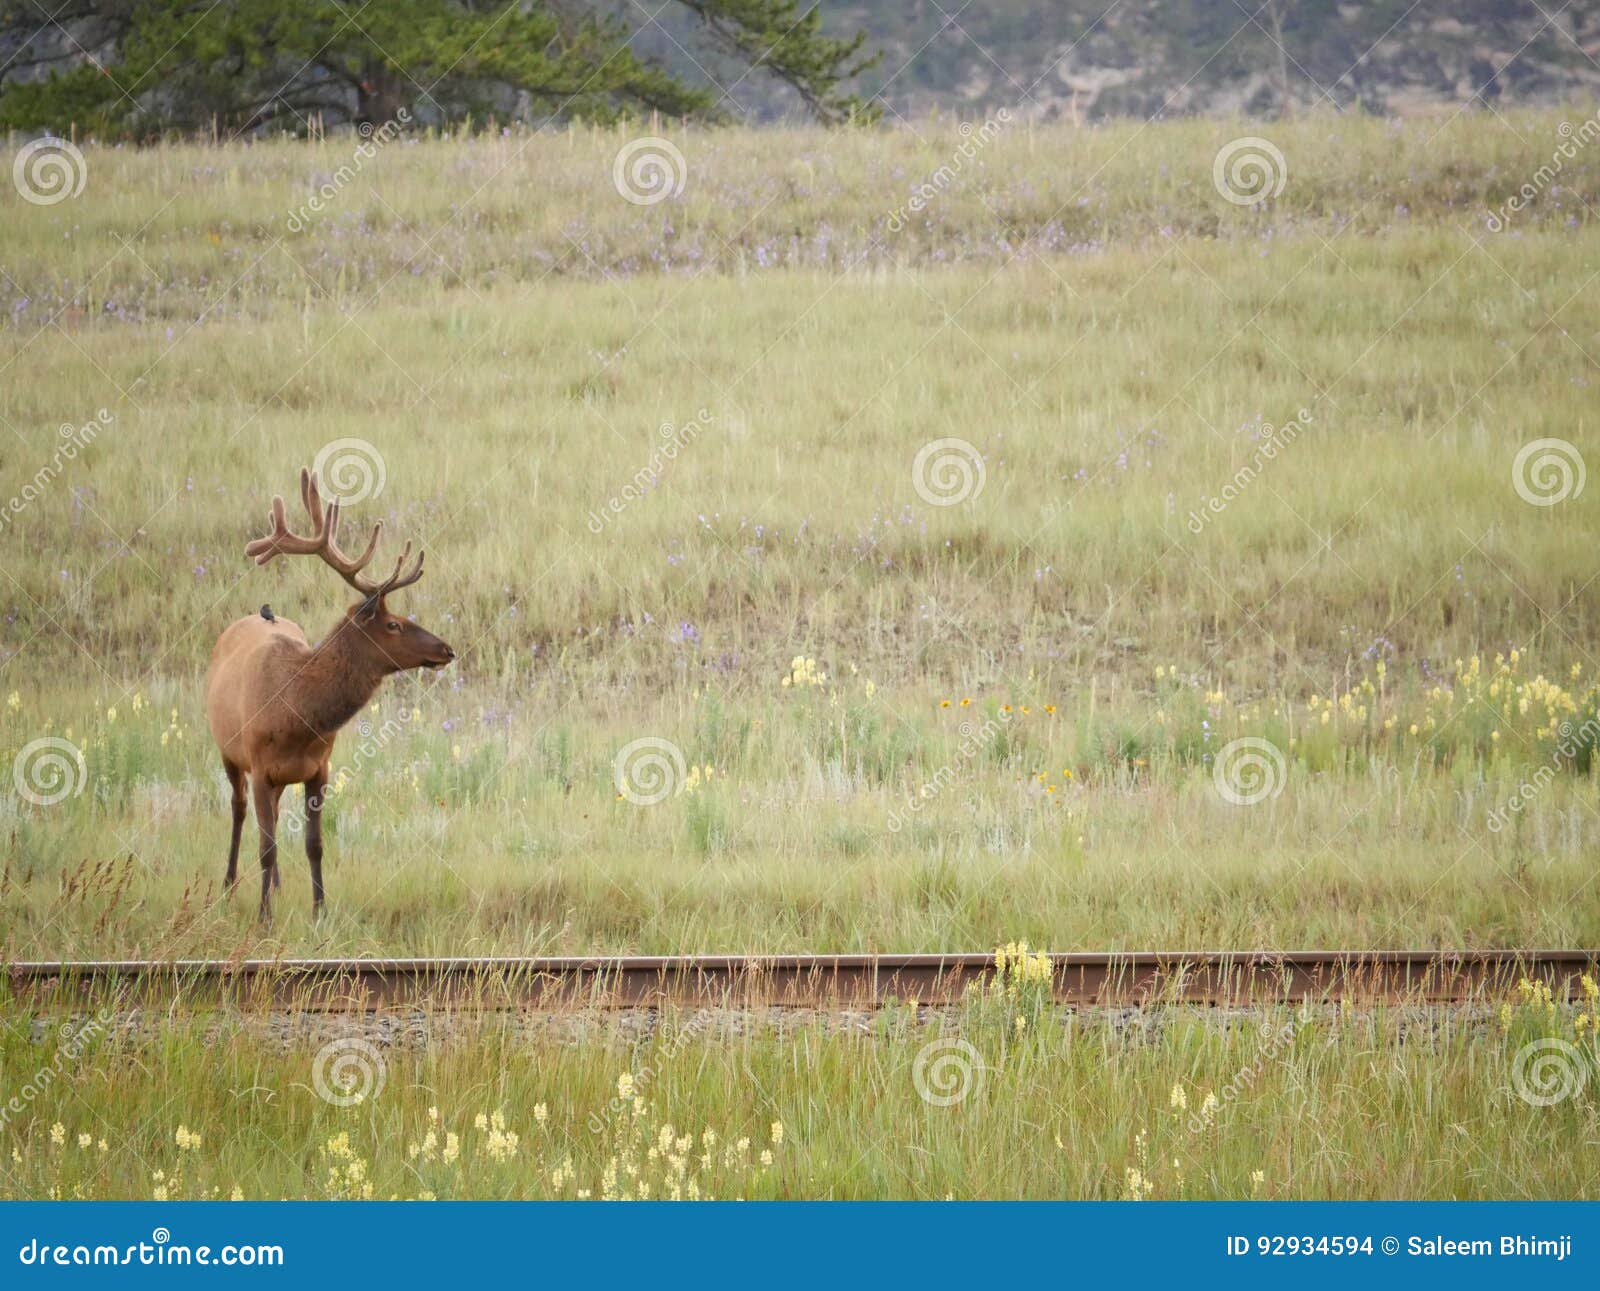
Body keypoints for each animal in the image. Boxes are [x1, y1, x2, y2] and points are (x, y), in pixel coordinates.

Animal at [205, 469, 454, 920]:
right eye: (393, 624)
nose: (447, 649)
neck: (297, 714)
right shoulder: (260, 765)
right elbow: (266, 847)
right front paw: (264, 917)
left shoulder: (319, 768)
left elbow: (314, 844)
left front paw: (320, 910)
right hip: (228, 750)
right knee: (238, 809)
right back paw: (230, 884)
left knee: (272, 817)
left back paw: (278, 887)